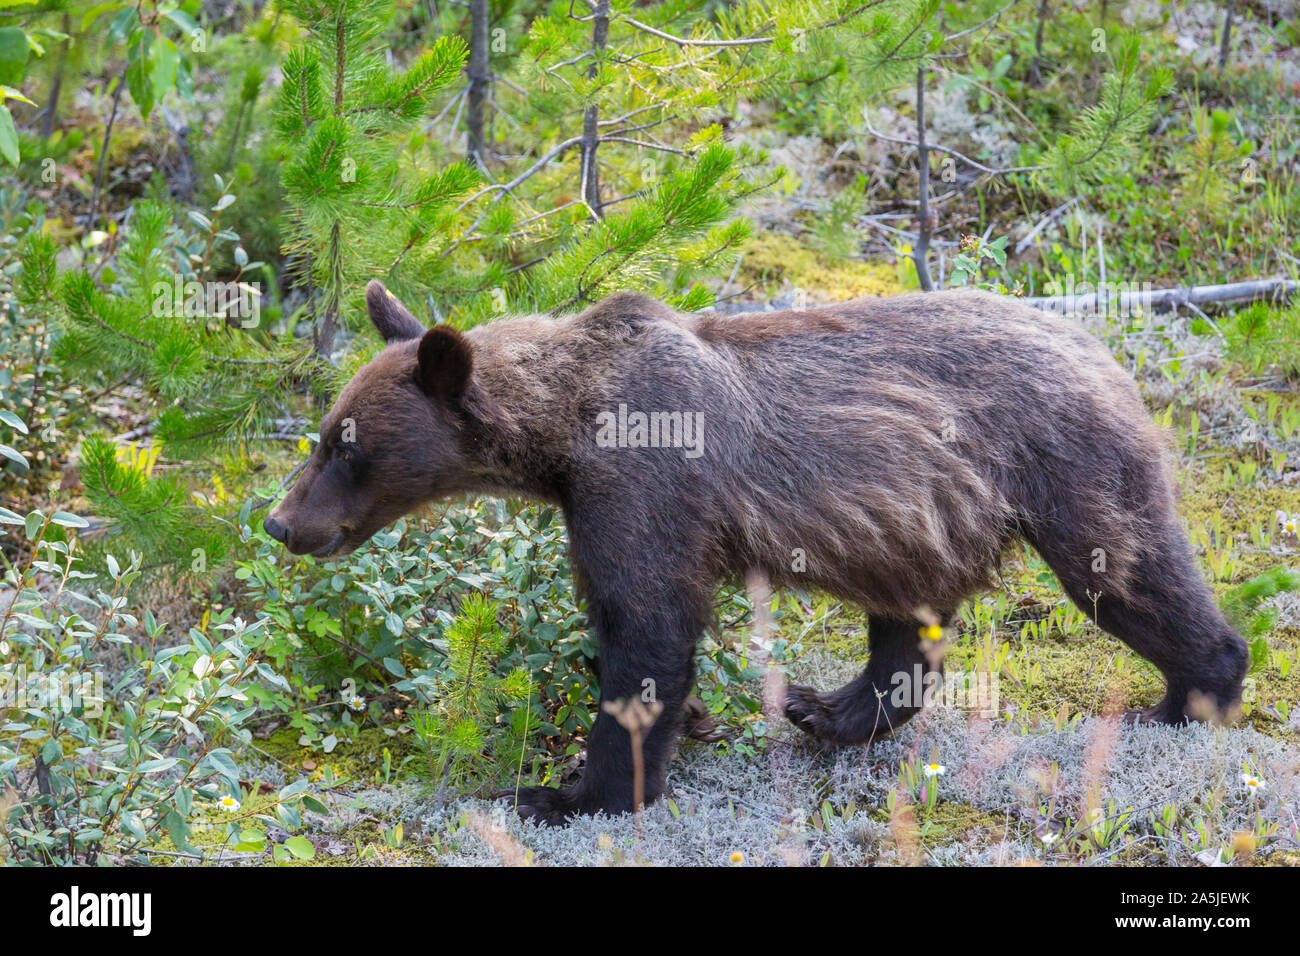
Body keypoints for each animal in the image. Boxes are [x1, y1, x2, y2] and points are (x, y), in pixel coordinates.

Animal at [264, 279, 1249, 825]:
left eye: (346, 446)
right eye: (324, 432)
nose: (280, 523)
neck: (563, 432)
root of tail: (1104, 346)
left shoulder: (645, 485)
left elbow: (646, 629)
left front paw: (570, 792)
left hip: (1064, 463)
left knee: (1128, 569)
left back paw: (1187, 697)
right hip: (915, 515)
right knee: (907, 622)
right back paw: (828, 708)